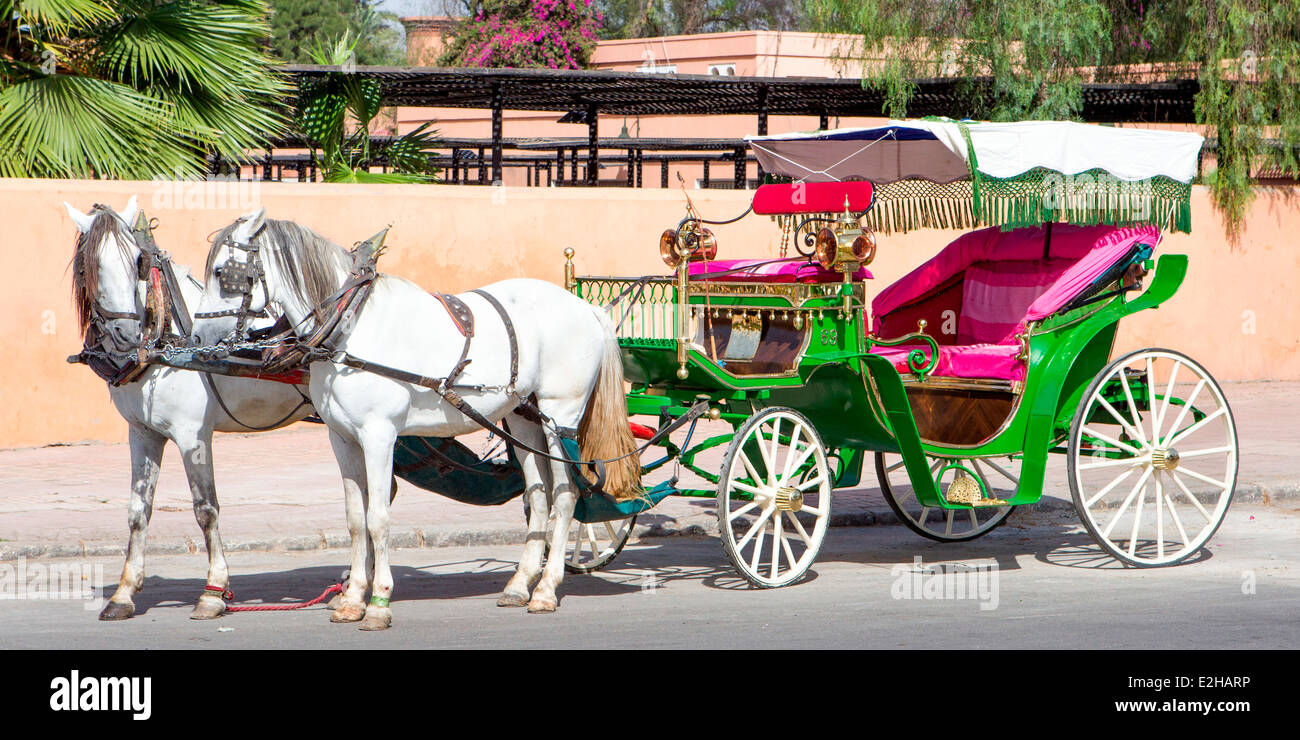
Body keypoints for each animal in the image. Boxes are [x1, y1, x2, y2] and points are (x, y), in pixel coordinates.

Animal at [65, 198, 315, 621]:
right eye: (91, 266)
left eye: (137, 261)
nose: (128, 335)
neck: (163, 339)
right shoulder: (143, 434)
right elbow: (138, 510)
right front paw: (123, 593)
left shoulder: (191, 435)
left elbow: (205, 509)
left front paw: (214, 592)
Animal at [193, 207, 641, 629]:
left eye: (220, 272)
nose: (197, 339)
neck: (351, 327)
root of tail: (588, 309)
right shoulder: (342, 438)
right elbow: (356, 520)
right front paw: (351, 598)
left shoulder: (379, 435)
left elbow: (378, 518)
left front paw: (378, 602)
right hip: (522, 418)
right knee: (538, 495)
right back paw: (519, 585)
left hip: (559, 416)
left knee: (566, 495)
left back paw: (547, 589)